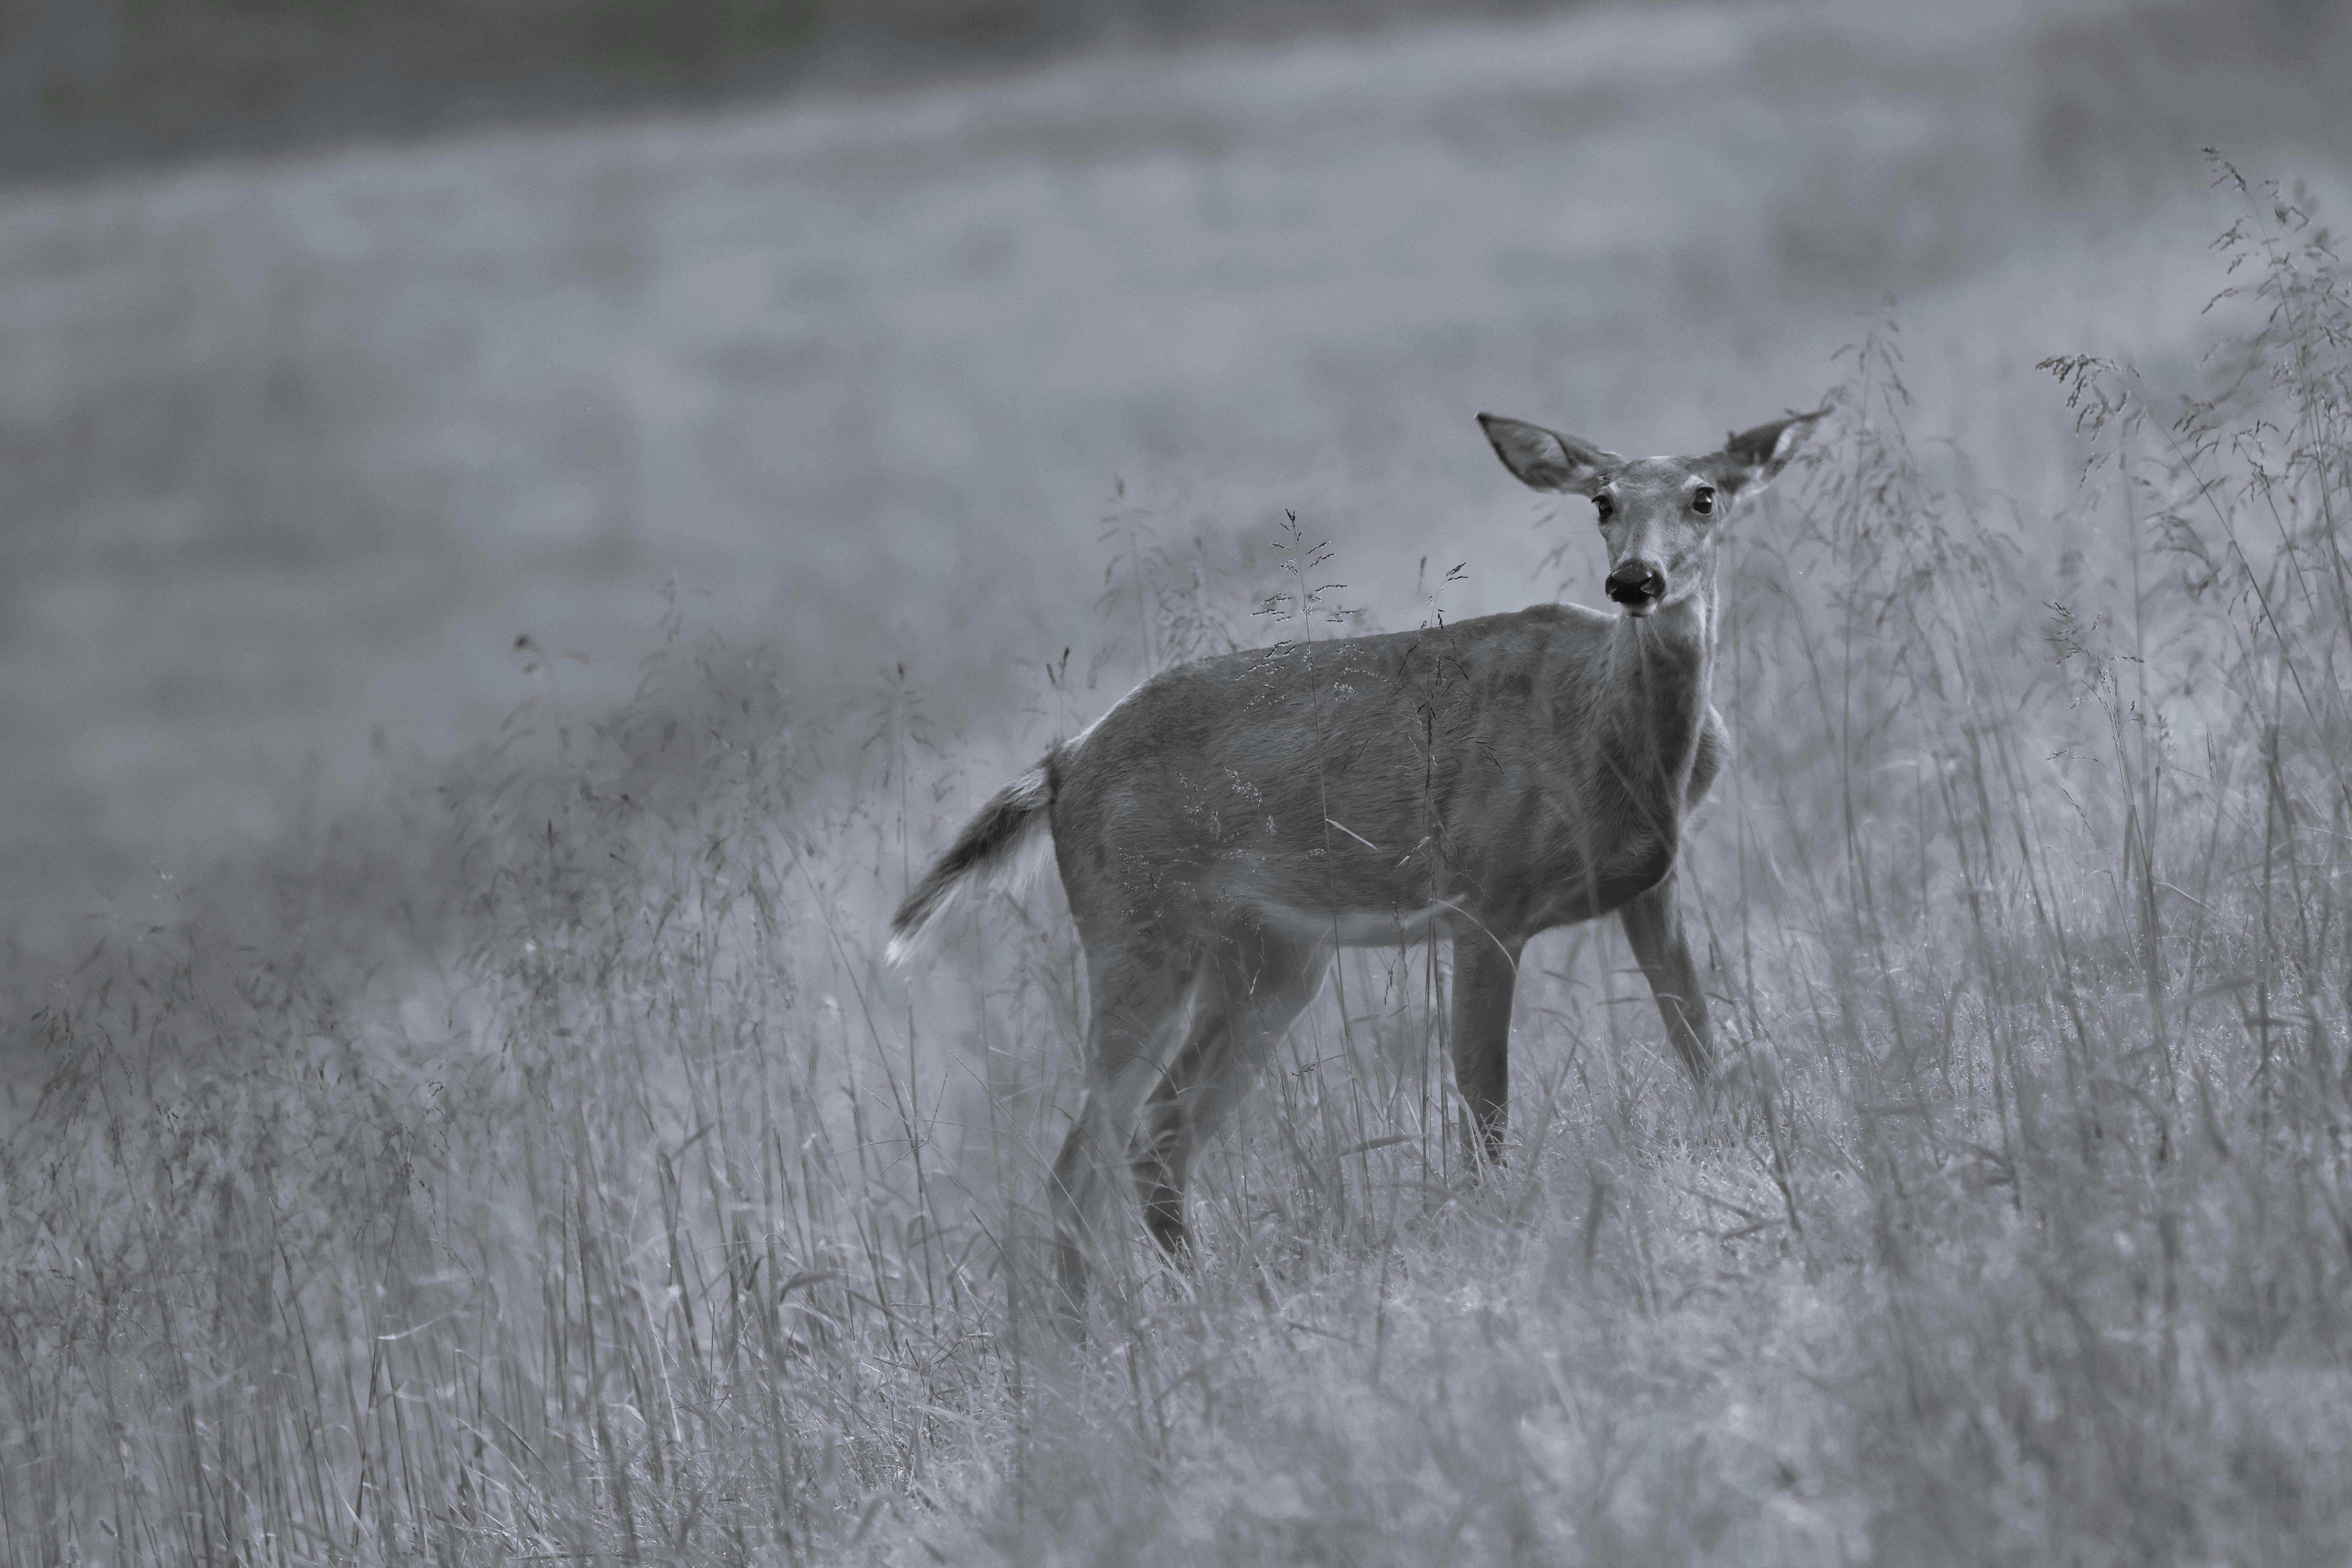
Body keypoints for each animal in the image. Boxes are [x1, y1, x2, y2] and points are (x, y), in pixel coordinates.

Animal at [888, 404, 1825, 1316]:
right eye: (1603, 500)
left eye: (1704, 495)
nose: (1635, 581)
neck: (1615, 744)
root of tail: (1059, 767)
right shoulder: (1485, 895)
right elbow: (1484, 1100)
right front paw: (1497, 1231)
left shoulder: (1648, 883)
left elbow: (1699, 1043)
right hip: (1136, 927)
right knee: (1079, 1157)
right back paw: (1095, 1337)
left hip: (1270, 958)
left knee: (1156, 1134)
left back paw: (1213, 1296)